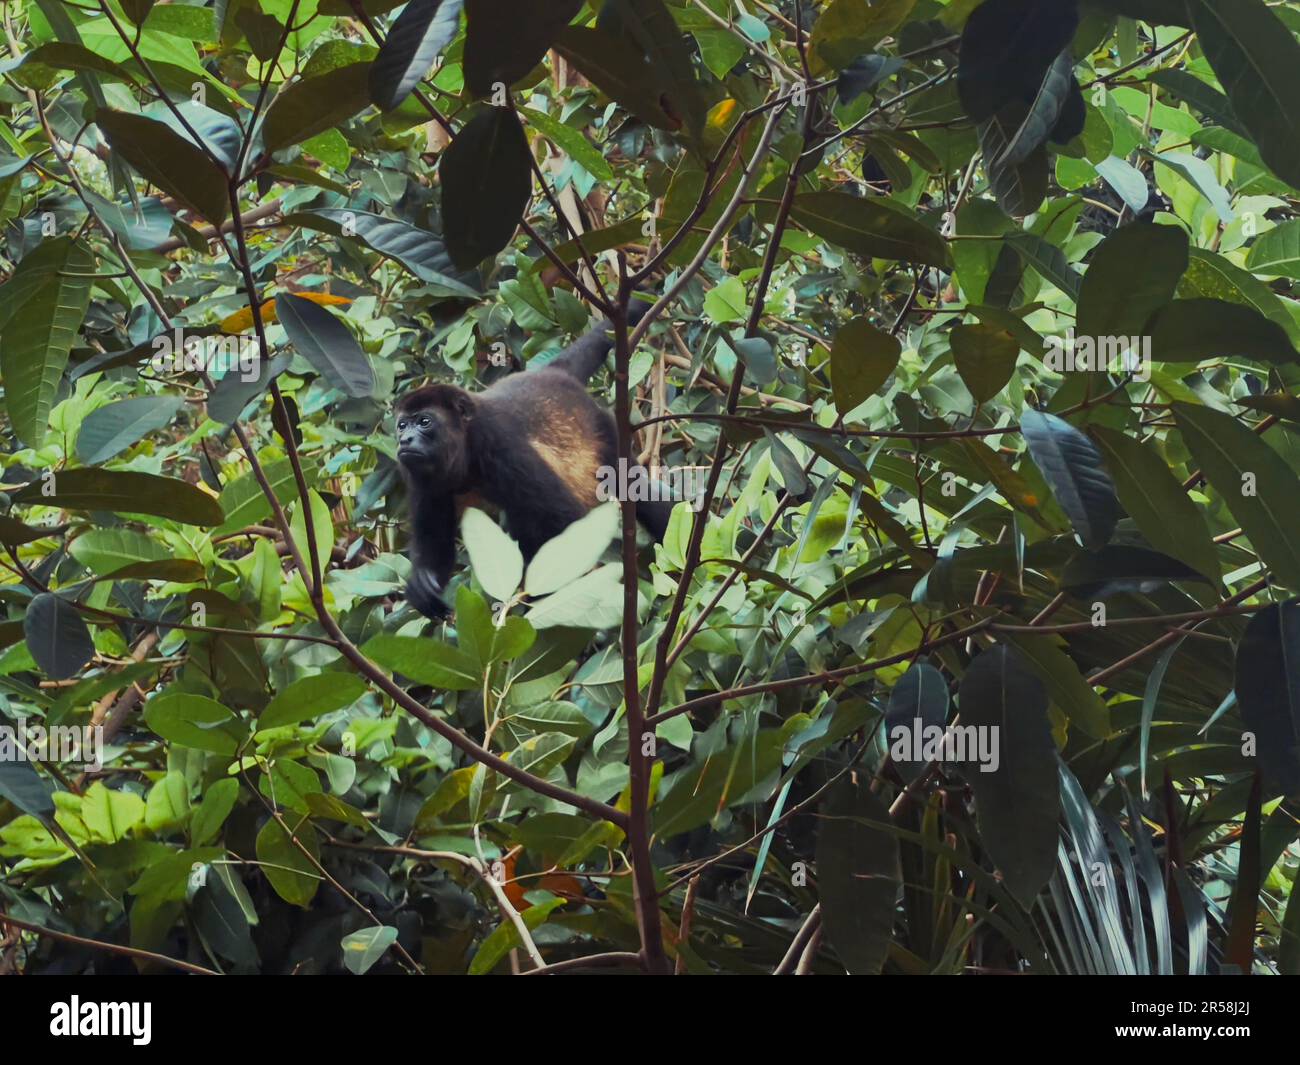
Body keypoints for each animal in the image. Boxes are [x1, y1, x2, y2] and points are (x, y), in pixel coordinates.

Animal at [390, 300, 676, 621]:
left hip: (605, 430)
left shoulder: (501, 445)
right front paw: (422, 584)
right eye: (402, 425)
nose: (405, 440)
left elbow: (568, 520)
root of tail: (552, 374)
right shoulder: (420, 477)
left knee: (635, 491)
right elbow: (435, 542)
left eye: (424, 422)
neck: (465, 444)